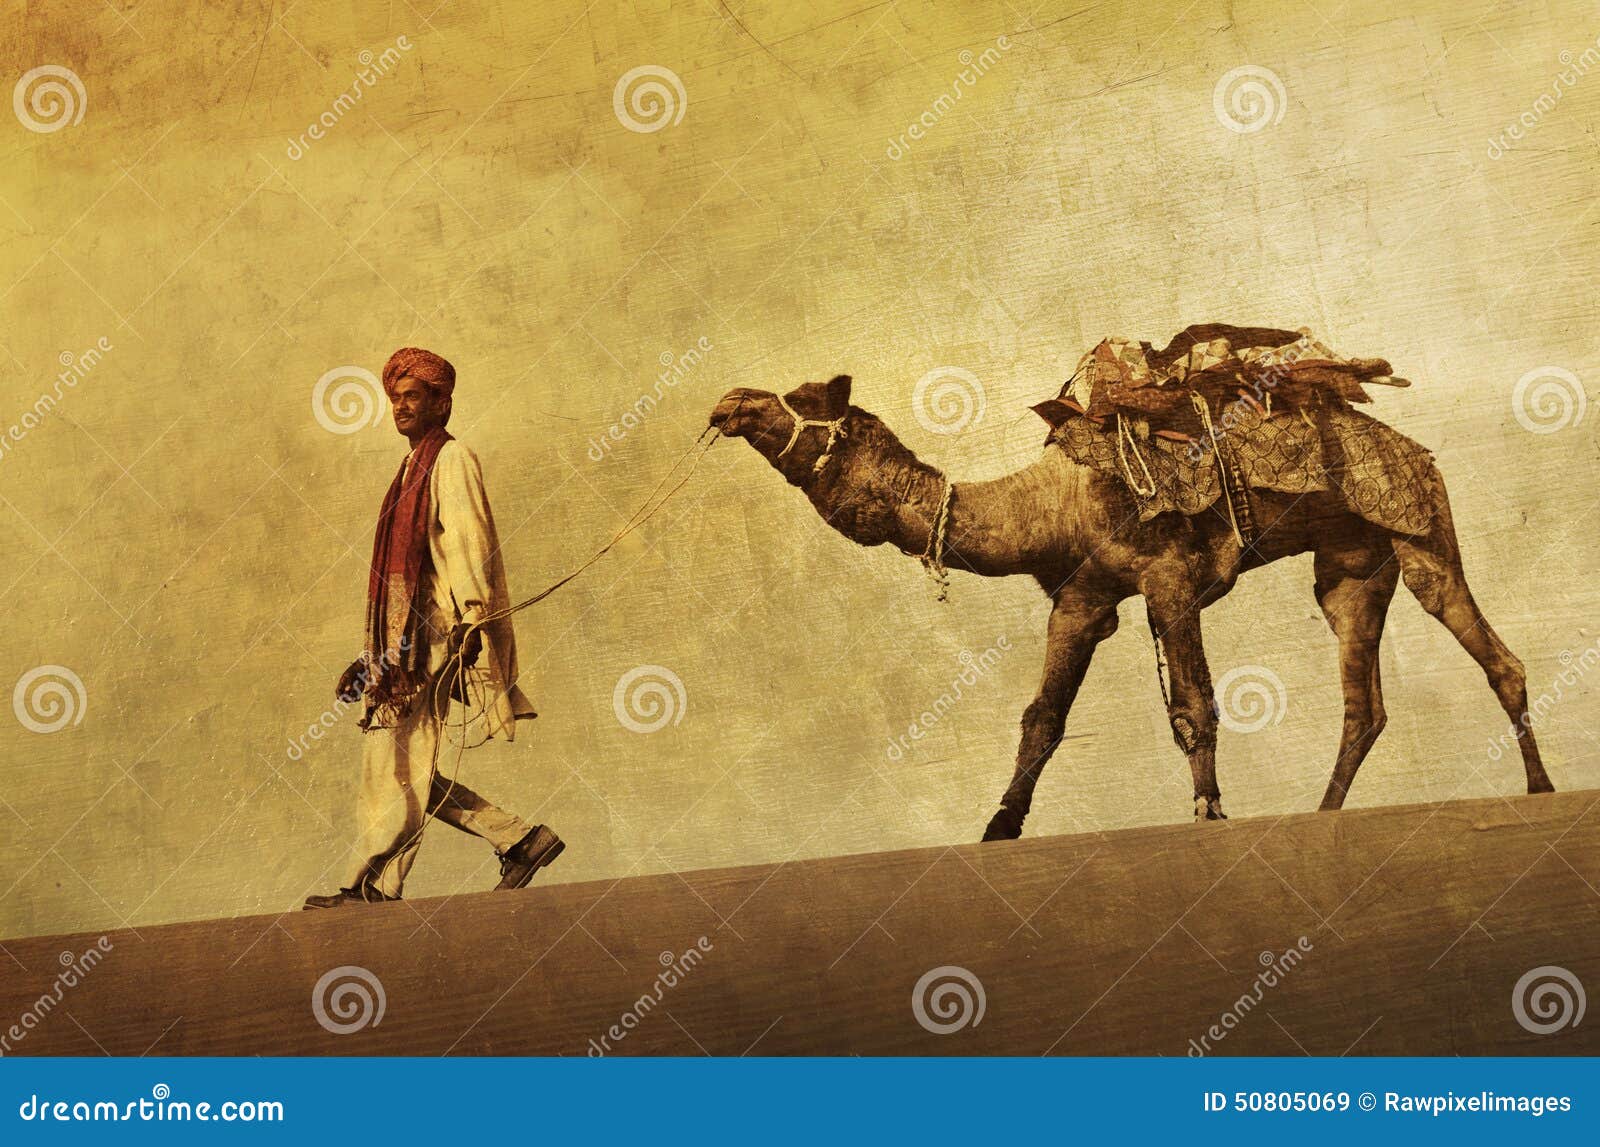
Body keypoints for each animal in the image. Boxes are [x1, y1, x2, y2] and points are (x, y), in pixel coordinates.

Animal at [708, 374, 1553, 840]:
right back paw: (1323, 812)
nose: (730, 402)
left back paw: (1541, 792)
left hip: (1420, 530)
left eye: (803, 402)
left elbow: (1195, 706)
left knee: (1496, 657)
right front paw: (998, 827)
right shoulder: (1083, 596)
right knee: (1364, 703)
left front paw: (1209, 814)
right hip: (1350, 569)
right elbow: (1042, 719)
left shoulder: (1169, 575)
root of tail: (1418, 452)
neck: (1055, 502)